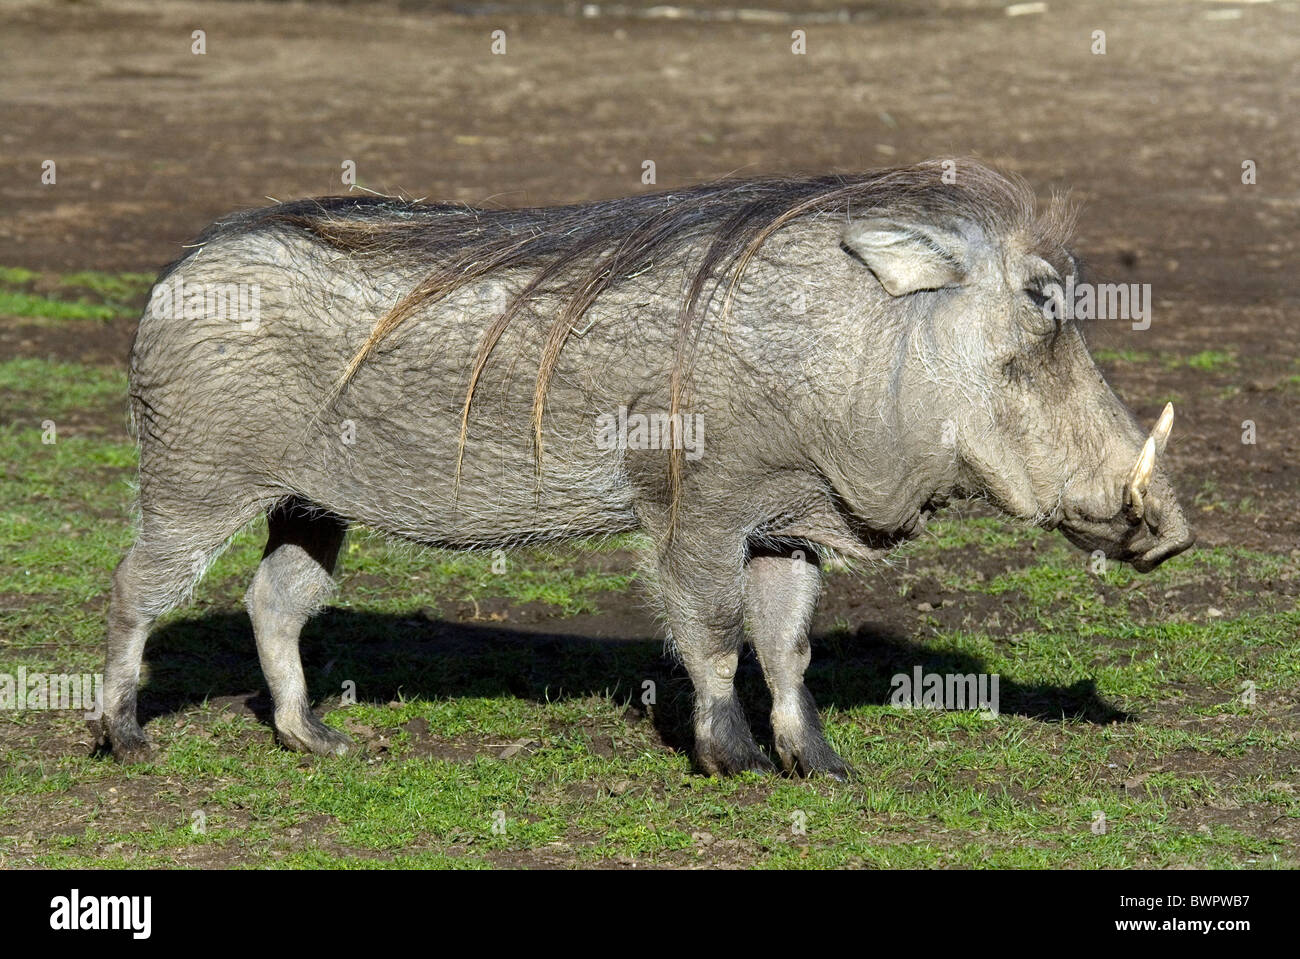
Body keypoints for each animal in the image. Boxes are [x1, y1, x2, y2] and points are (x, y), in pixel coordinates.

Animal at [95, 160, 1193, 777]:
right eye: (1043, 298)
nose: (1175, 532)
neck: (861, 343)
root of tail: (176, 268)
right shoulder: (698, 513)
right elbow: (708, 633)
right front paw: (731, 760)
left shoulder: (789, 523)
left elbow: (786, 647)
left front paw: (822, 766)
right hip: (194, 481)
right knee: (135, 590)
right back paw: (124, 738)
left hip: (309, 504)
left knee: (274, 601)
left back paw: (314, 740)